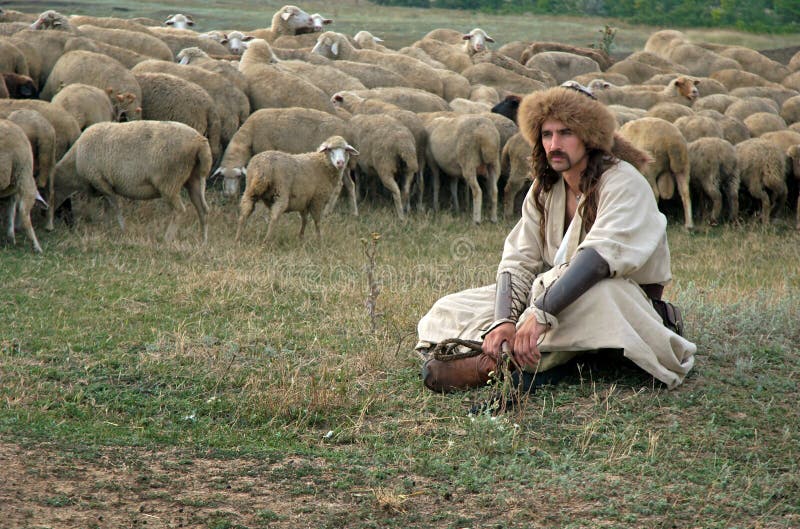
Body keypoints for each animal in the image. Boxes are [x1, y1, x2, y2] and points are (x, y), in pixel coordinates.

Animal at [52, 120, 211, 242]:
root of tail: (200, 142)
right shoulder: (105, 185)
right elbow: (108, 207)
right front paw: (107, 228)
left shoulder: (100, 181)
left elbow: (115, 205)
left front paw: (121, 228)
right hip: (195, 179)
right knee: (203, 210)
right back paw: (203, 241)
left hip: (169, 182)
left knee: (179, 210)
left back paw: (167, 239)